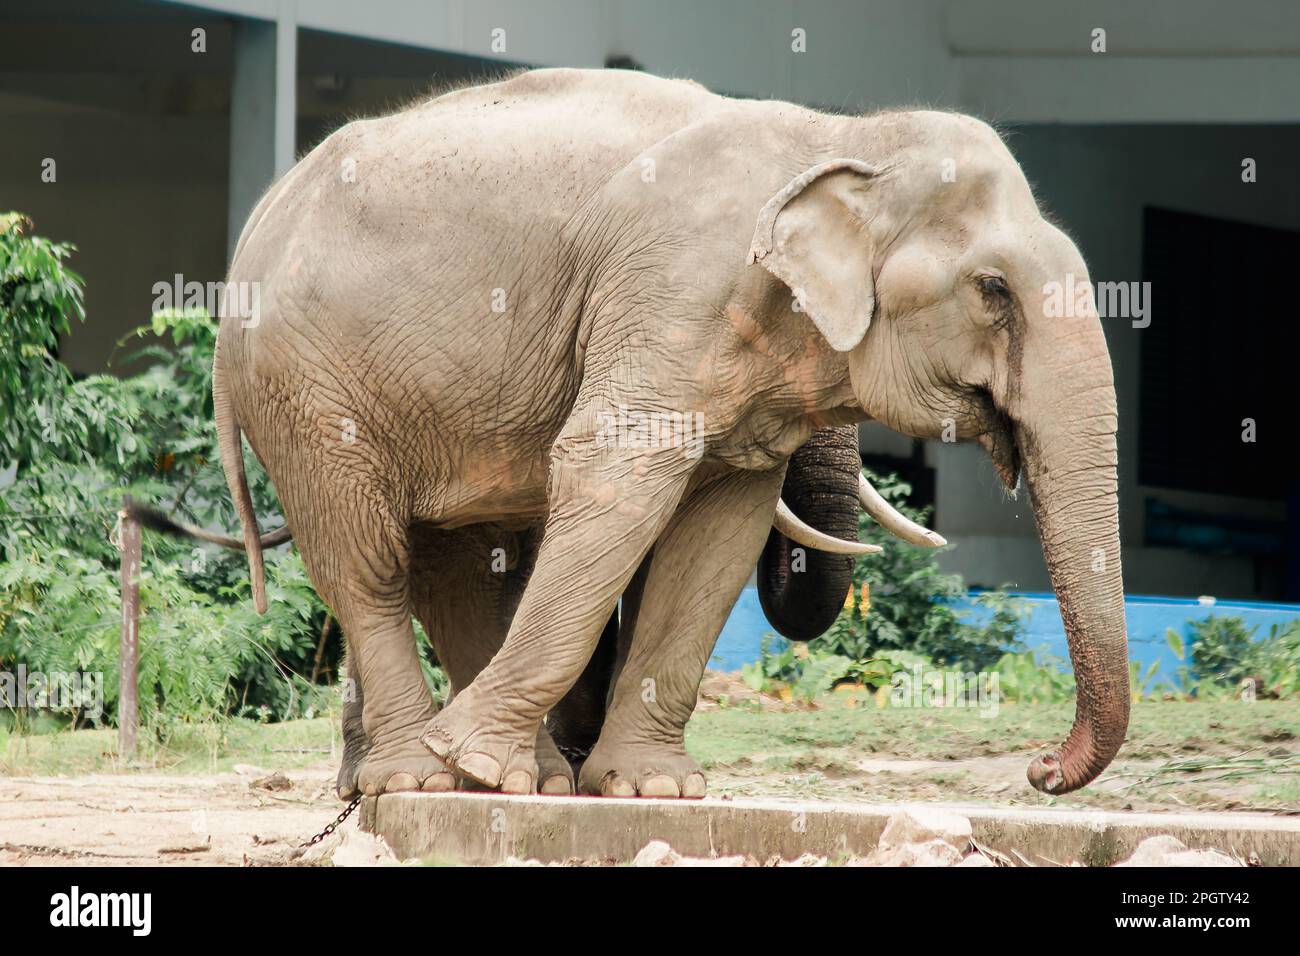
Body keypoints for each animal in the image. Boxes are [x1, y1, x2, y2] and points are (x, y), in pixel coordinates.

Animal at [149, 66, 1127, 801]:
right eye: (993, 290)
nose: (1040, 768)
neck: (839, 137)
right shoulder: (672, 291)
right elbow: (612, 480)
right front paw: (482, 763)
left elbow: (719, 532)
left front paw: (650, 790)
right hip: (307, 388)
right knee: (367, 559)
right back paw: (423, 779)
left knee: (453, 562)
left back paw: (509, 779)